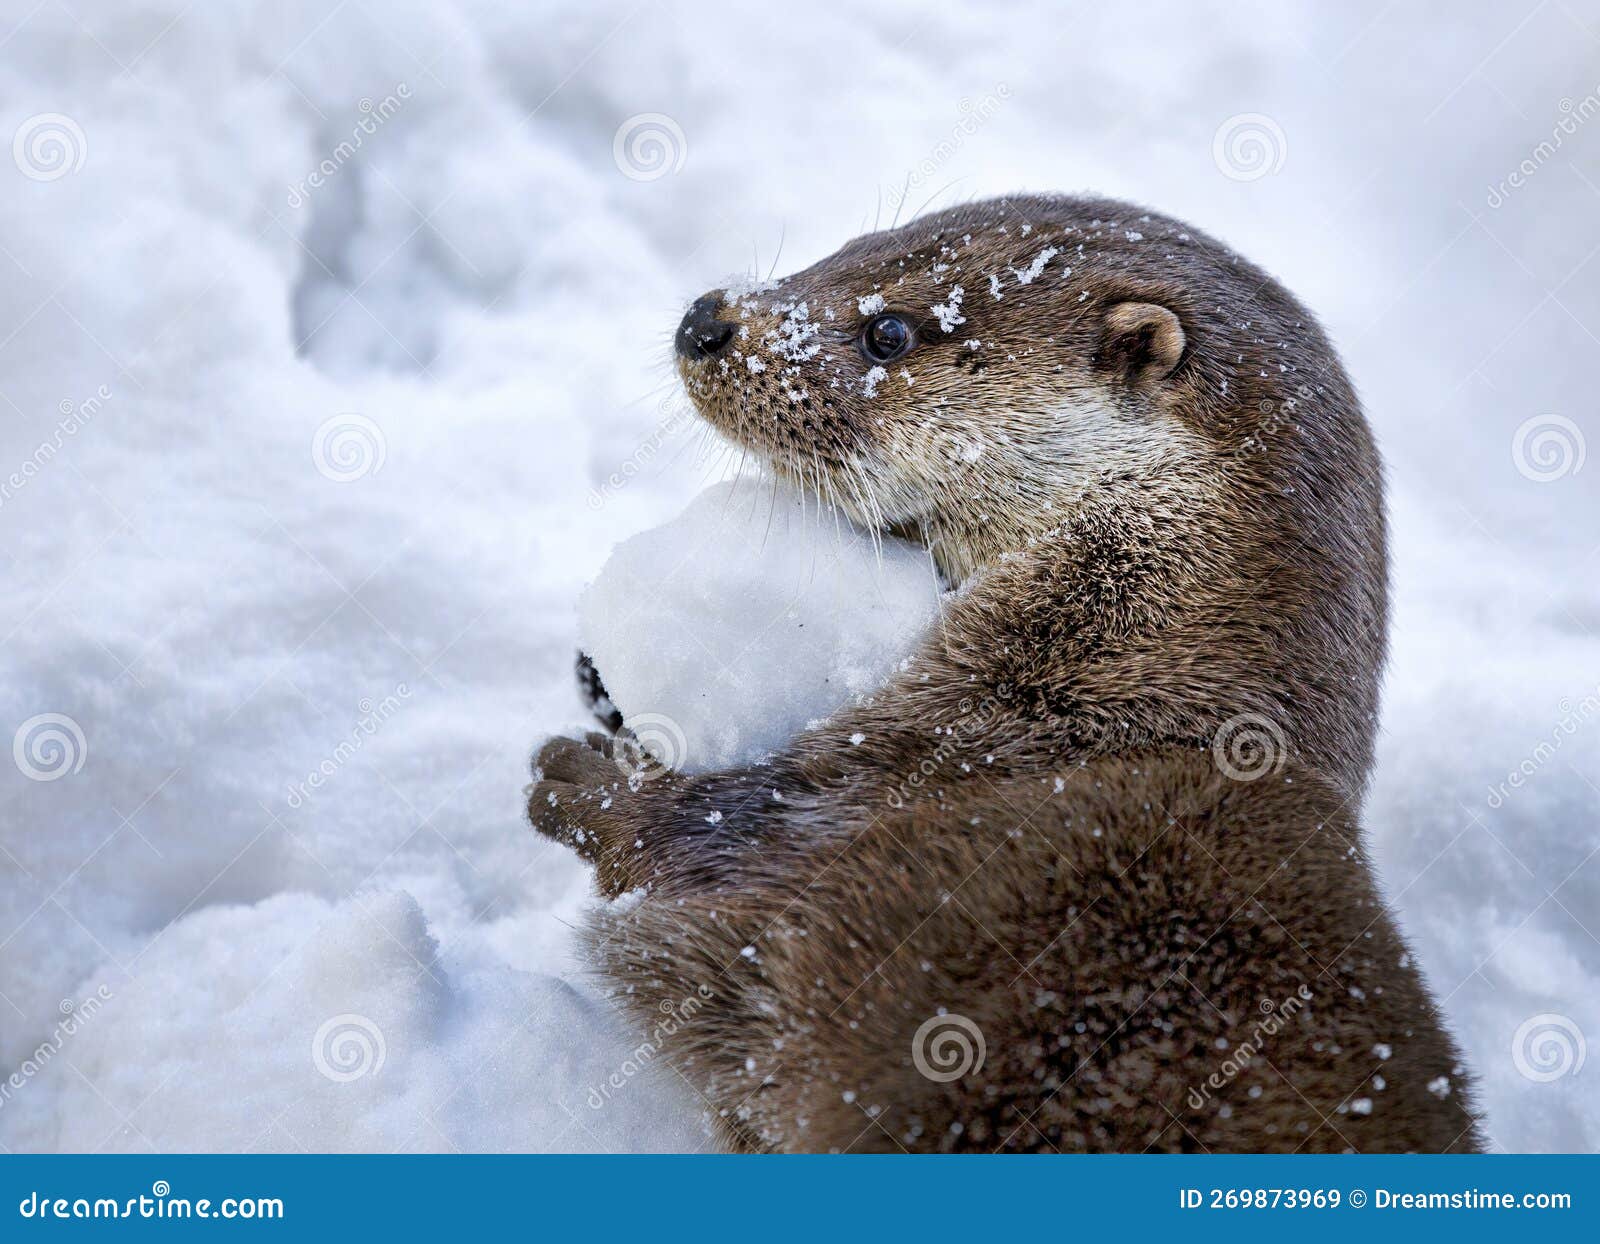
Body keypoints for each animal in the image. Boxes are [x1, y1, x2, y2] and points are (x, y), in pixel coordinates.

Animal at [529, 194, 1481, 1153]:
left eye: (889, 332)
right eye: (849, 245)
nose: (706, 320)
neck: (1122, 701)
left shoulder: (891, 783)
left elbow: (707, 834)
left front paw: (582, 776)